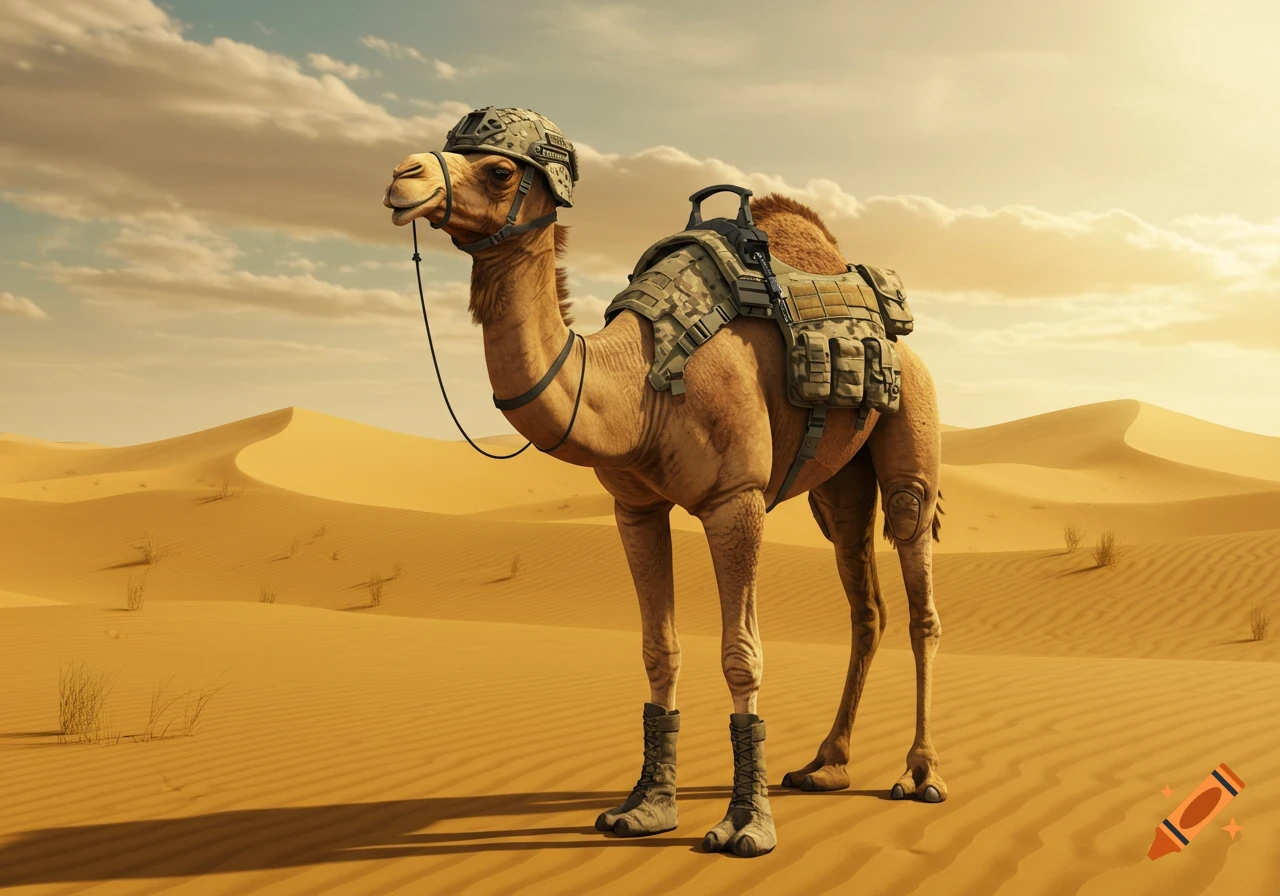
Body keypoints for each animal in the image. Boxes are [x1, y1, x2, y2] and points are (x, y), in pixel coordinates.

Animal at [382, 119, 946, 858]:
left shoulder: (737, 501)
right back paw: (825, 765)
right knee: (865, 600)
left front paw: (746, 824)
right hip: (841, 485)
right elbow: (659, 650)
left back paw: (921, 774)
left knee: (916, 576)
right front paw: (644, 807)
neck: (636, 380)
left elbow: (741, 655)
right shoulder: (636, 507)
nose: (403, 176)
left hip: (914, 424)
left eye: (500, 171)